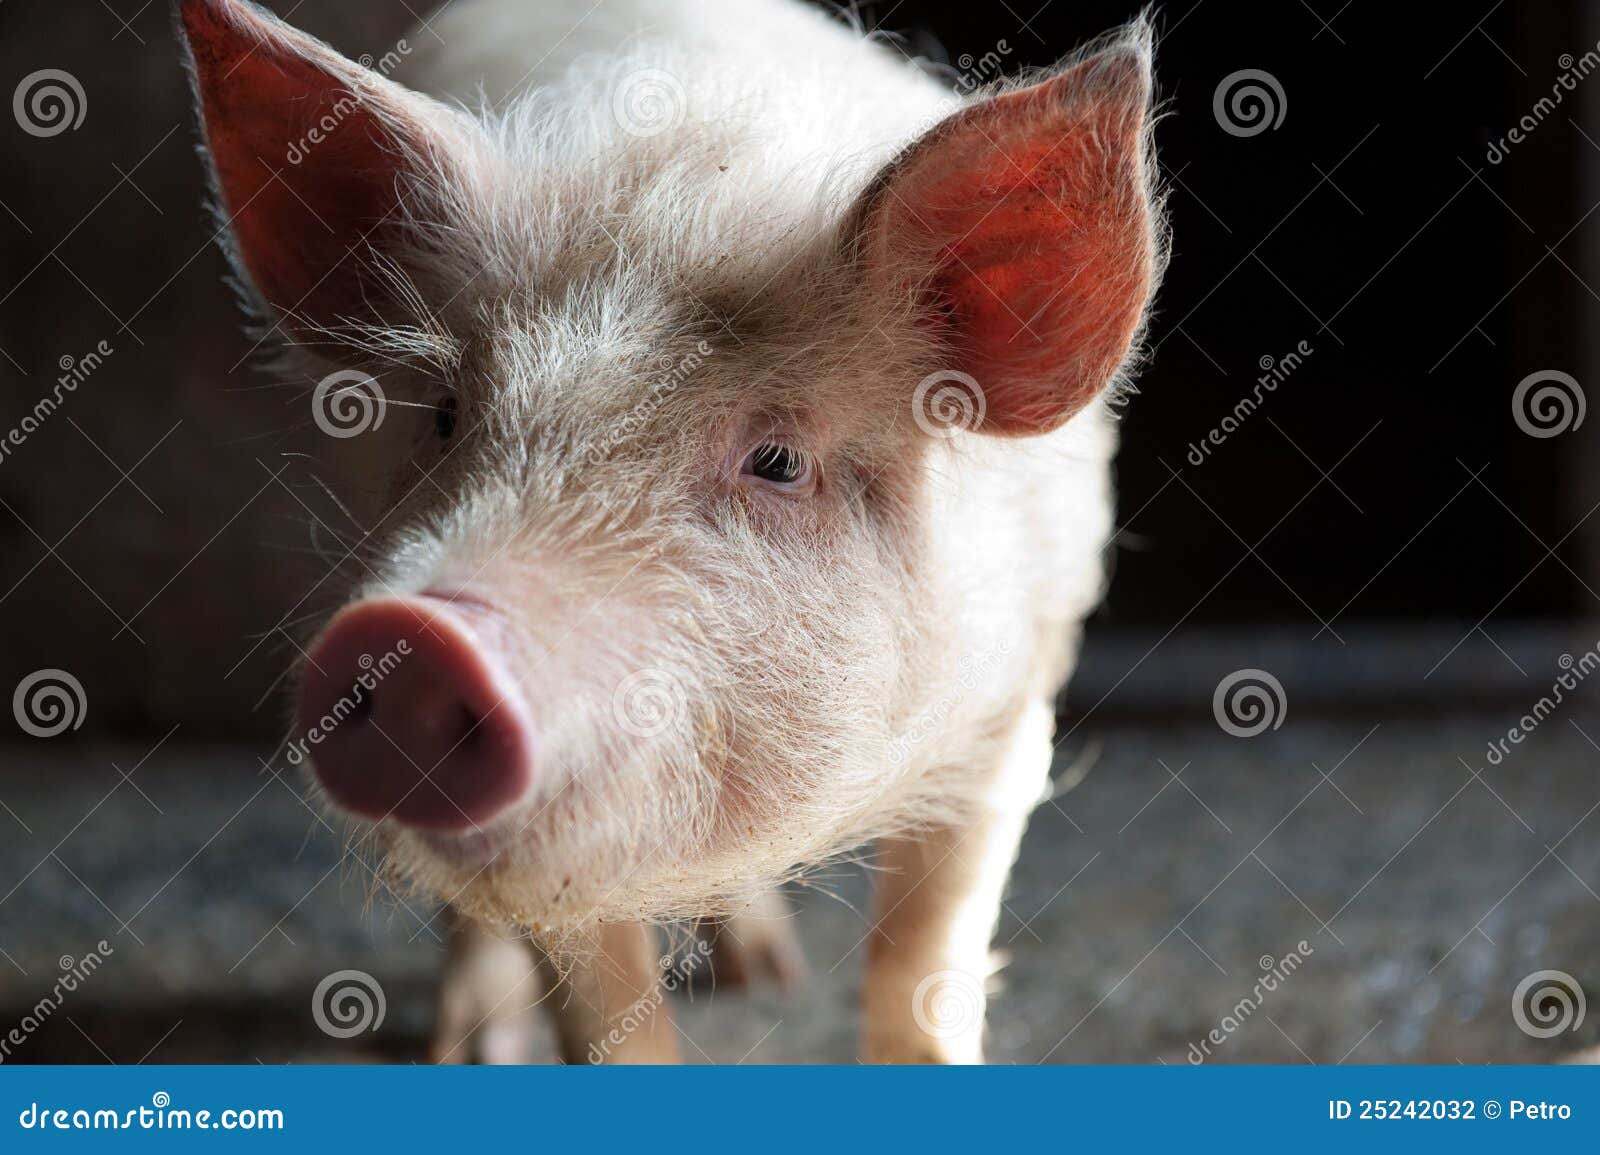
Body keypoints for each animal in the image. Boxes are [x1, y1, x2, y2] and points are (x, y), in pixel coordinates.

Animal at [177, 0, 1164, 1063]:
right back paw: (477, 1045)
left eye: (778, 460)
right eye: (446, 415)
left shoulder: (1008, 718)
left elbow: (924, 961)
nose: (415, 636)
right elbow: (606, 1007)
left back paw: (764, 973)